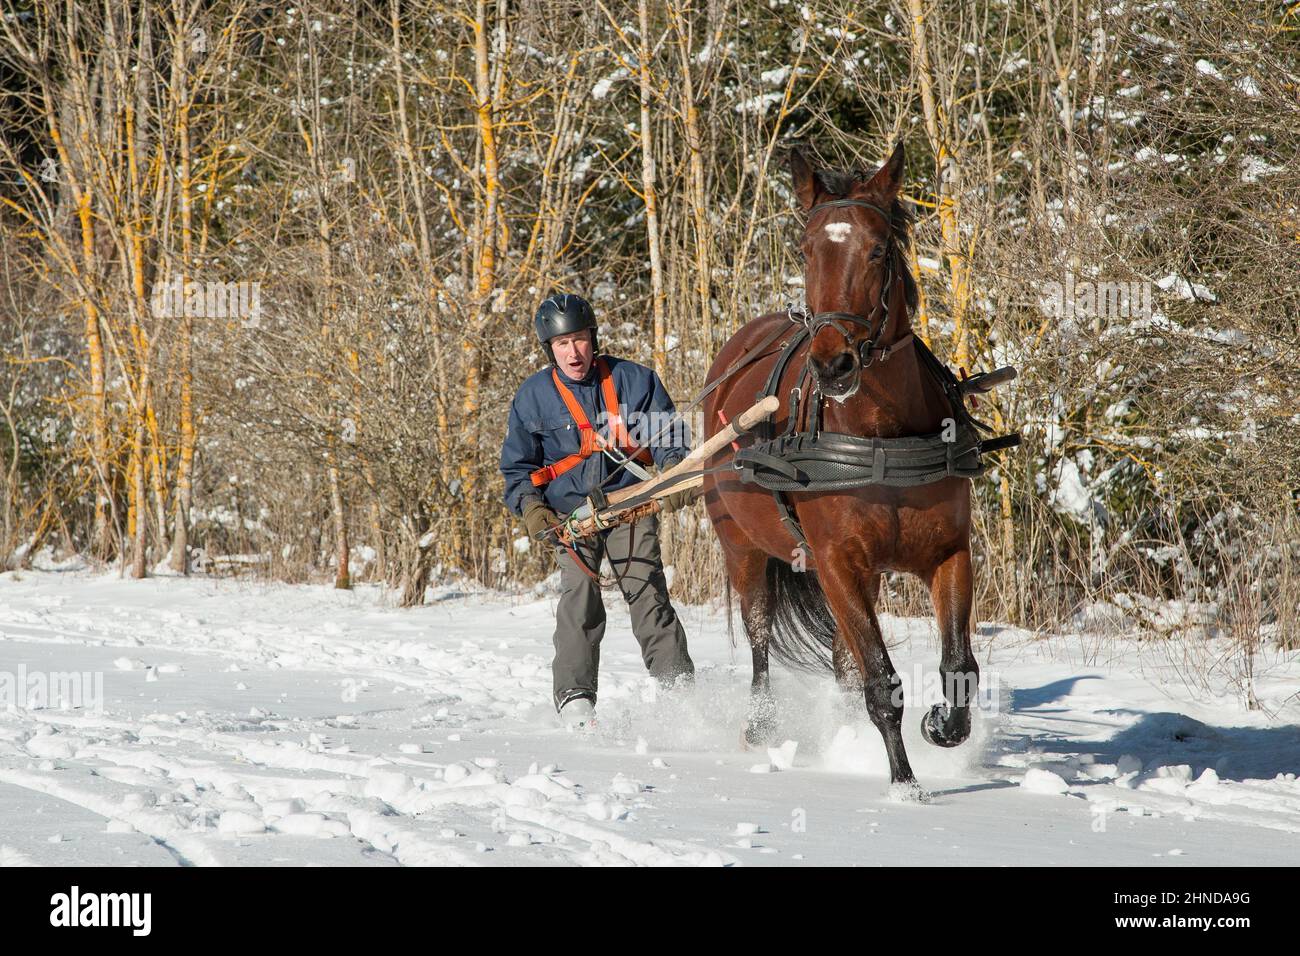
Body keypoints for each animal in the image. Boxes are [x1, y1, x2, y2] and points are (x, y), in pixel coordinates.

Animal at [702, 142, 981, 800]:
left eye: (878, 250)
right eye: (806, 250)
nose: (832, 363)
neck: (879, 434)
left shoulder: (948, 553)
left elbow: (958, 665)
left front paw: (943, 725)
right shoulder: (835, 561)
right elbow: (880, 679)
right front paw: (904, 784)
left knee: (840, 659)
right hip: (742, 547)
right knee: (759, 636)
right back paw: (761, 727)